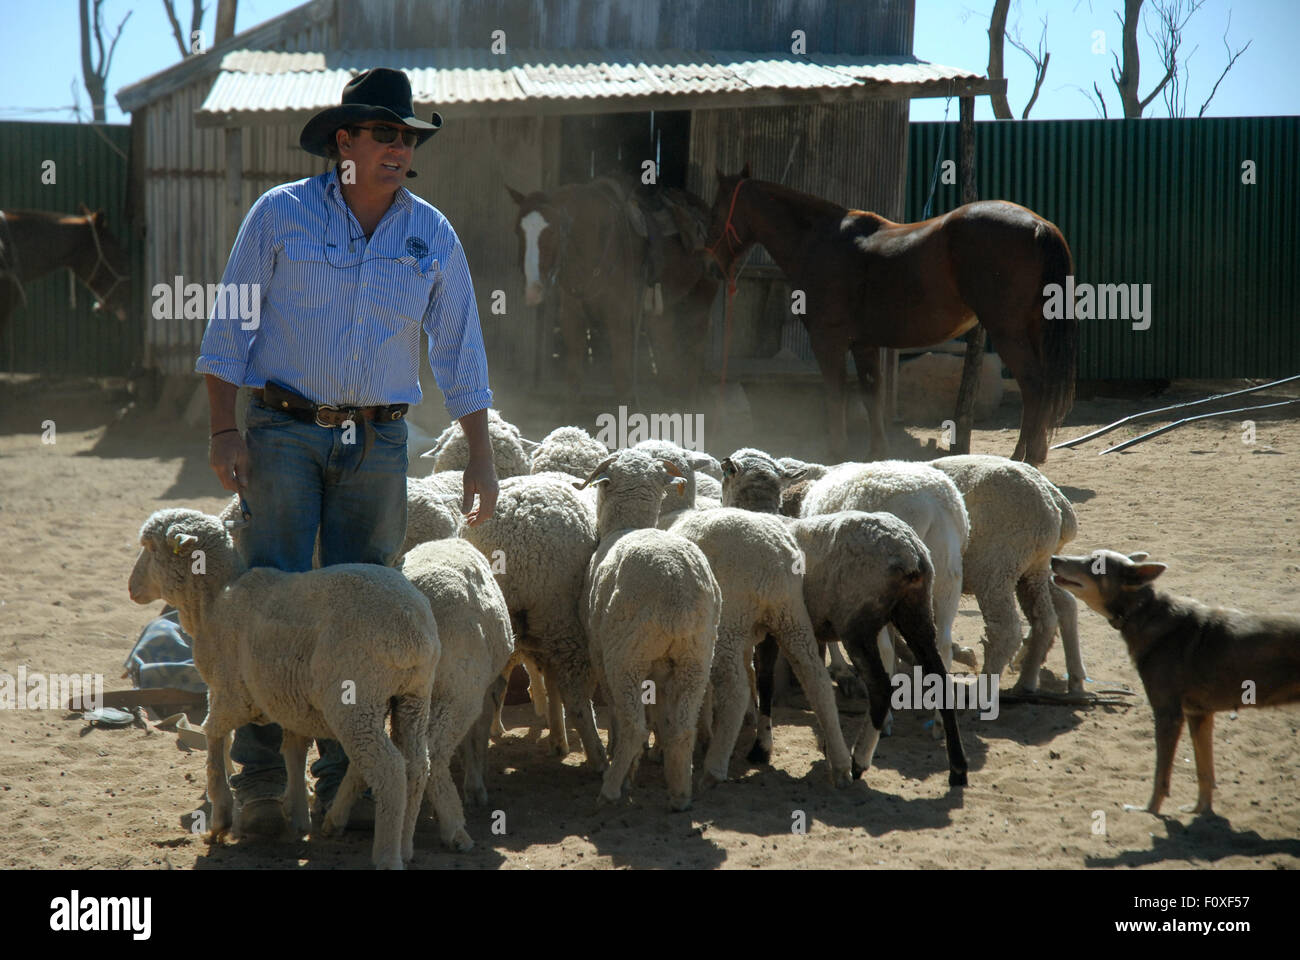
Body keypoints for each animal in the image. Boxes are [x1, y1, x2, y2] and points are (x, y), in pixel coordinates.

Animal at [127, 508, 437, 869]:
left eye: (150, 548)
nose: (131, 587)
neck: (213, 601)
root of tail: (411, 627)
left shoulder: (228, 691)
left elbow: (215, 738)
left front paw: (220, 818)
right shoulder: (290, 697)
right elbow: (294, 750)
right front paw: (298, 816)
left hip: (355, 699)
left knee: (389, 769)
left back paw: (387, 854)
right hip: (414, 696)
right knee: (417, 765)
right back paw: (404, 844)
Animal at [396, 539, 514, 851]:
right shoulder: (480, 690)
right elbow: (477, 734)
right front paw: (476, 786)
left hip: (407, 691)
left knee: (405, 755)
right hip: (458, 692)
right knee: (434, 754)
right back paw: (454, 829)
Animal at [458, 472, 606, 768]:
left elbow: (550, 682)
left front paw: (557, 739)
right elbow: (557, 685)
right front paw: (559, 740)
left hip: (501, 624)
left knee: (486, 692)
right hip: (561, 618)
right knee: (576, 694)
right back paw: (598, 757)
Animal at [575, 450, 721, 810]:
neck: (630, 525)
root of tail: (678, 590)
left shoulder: (599, 652)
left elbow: (617, 712)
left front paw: (626, 763)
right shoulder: (663, 670)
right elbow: (662, 717)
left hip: (626, 658)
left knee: (633, 726)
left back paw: (612, 787)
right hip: (696, 658)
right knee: (683, 728)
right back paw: (680, 793)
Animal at [928, 455, 1084, 694]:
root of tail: (1054, 502)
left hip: (996, 568)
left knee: (1006, 632)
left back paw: (983, 688)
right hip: (1034, 568)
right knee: (1055, 611)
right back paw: (1050, 678)